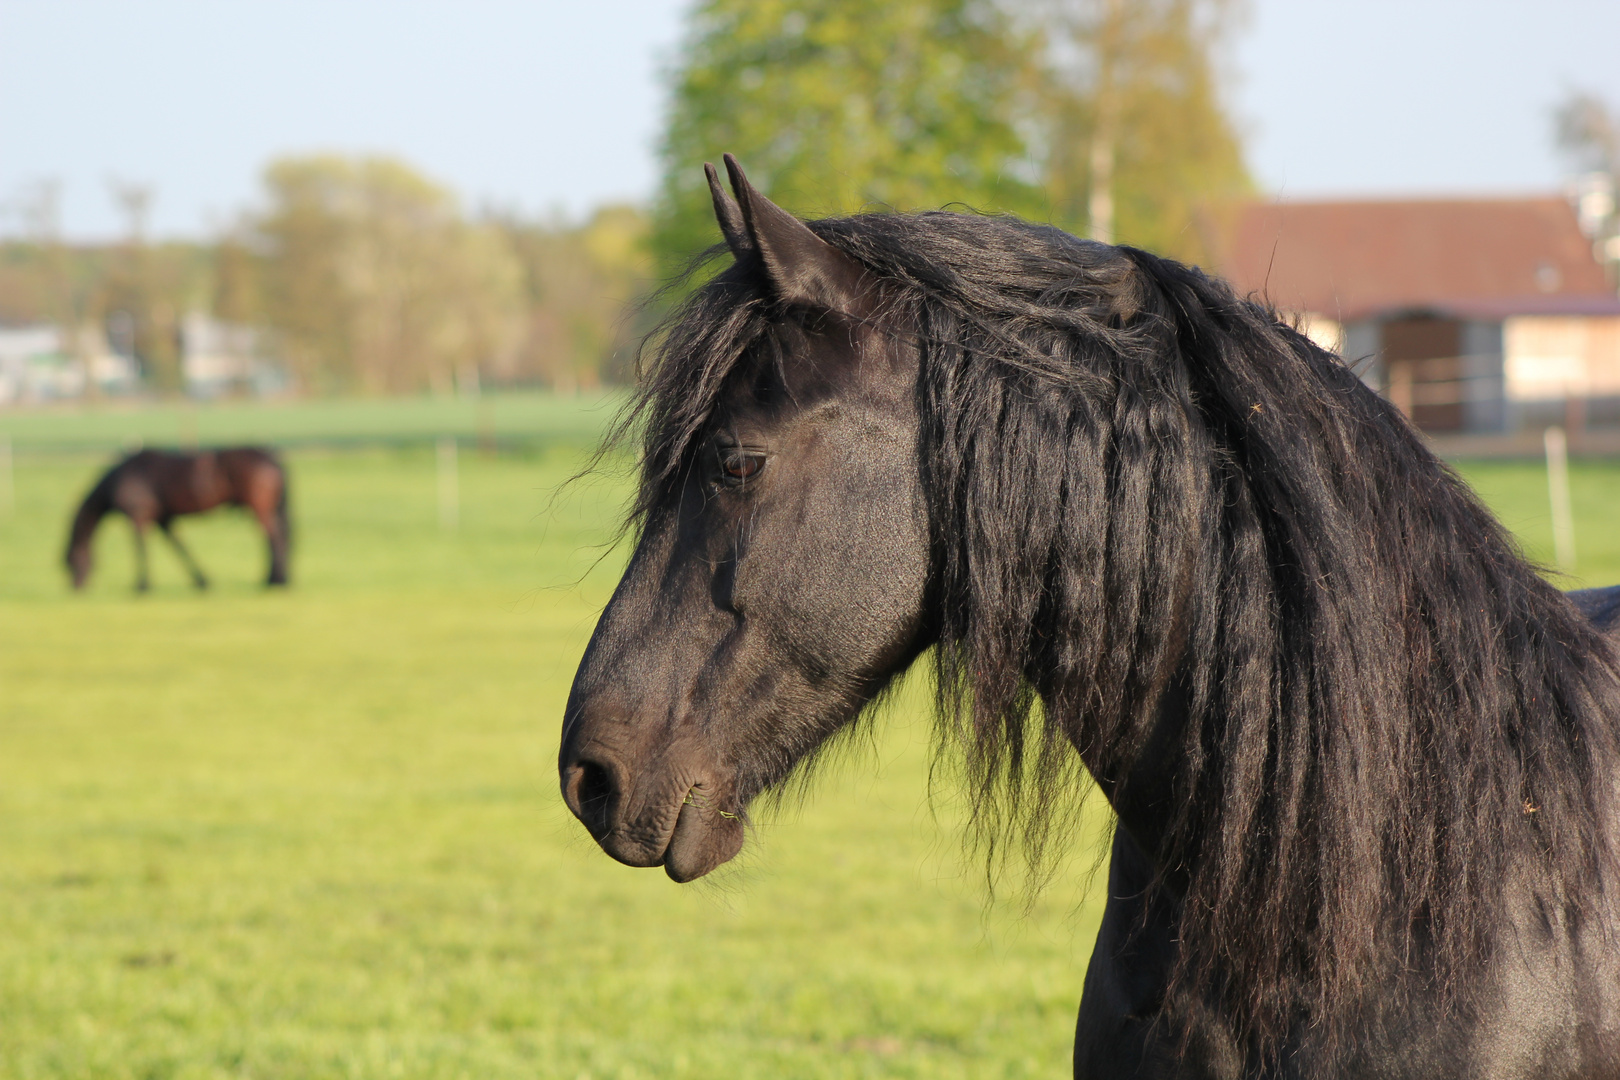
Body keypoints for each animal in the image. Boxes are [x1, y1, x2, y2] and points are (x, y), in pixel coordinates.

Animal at [65, 446, 291, 592]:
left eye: (71, 561)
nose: (76, 588)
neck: (123, 477)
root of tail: (271, 458)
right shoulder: (163, 519)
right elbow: (179, 546)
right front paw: (202, 581)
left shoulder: (138, 517)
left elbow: (141, 549)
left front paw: (142, 586)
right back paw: (274, 579)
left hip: (259, 508)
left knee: (275, 538)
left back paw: (274, 581)